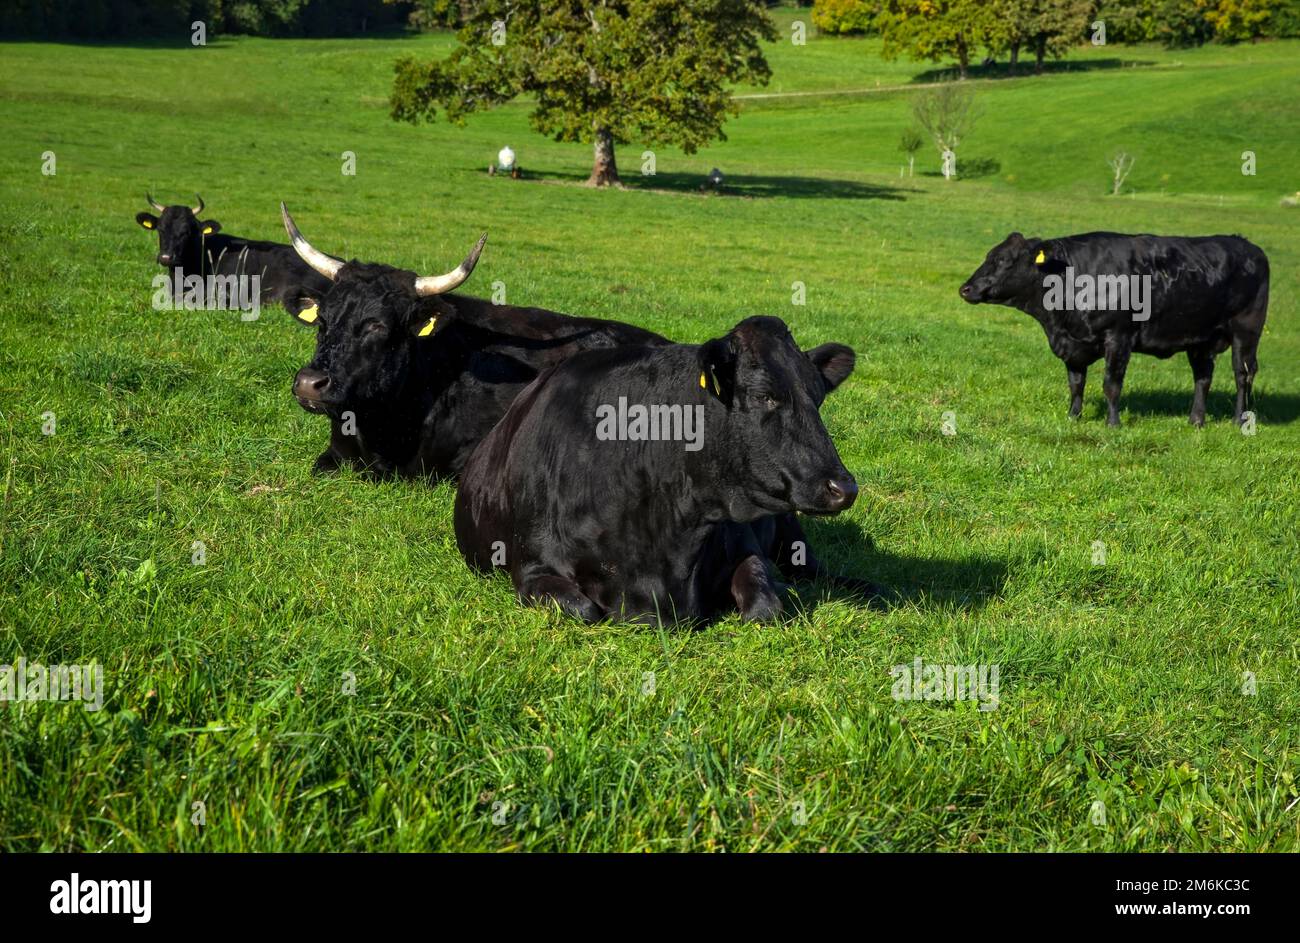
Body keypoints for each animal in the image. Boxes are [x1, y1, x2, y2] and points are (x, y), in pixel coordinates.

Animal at [453, 315, 872, 625]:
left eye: (818, 397)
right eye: (763, 395)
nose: (844, 488)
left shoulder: (742, 543)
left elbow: (764, 606)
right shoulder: (531, 566)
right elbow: (585, 610)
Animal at [959, 232, 1269, 427]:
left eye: (1004, 260)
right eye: (990, 255)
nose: (966, 289)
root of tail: (1248, 246)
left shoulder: (1118, 338)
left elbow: (1111, 384)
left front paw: (1113, 423)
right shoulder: (1073, 345)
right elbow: (1076, 384)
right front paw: (1073, 417)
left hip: (1246, 331)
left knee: (1243, 374)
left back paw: (1239, 420)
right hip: (1200, 340)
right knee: (1203, 378)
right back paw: (1195, 420)